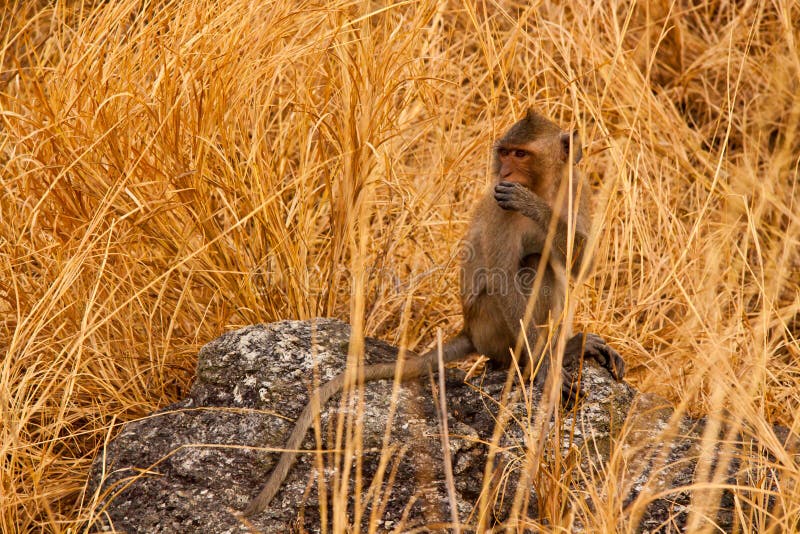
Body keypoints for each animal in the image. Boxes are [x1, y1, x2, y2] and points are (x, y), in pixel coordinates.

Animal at [243, 109, 625, 517]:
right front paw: (547, 369)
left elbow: (583, 266)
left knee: (547, 263)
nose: (505, 172)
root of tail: (470, 331)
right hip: (490, 326)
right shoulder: (499, 207)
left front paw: (535, 209)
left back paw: (565, 346)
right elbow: (504, 278)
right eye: (505, 153)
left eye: (520, 154)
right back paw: (536, 358)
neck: (545, 187)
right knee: (532, 268)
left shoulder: (578, 187)